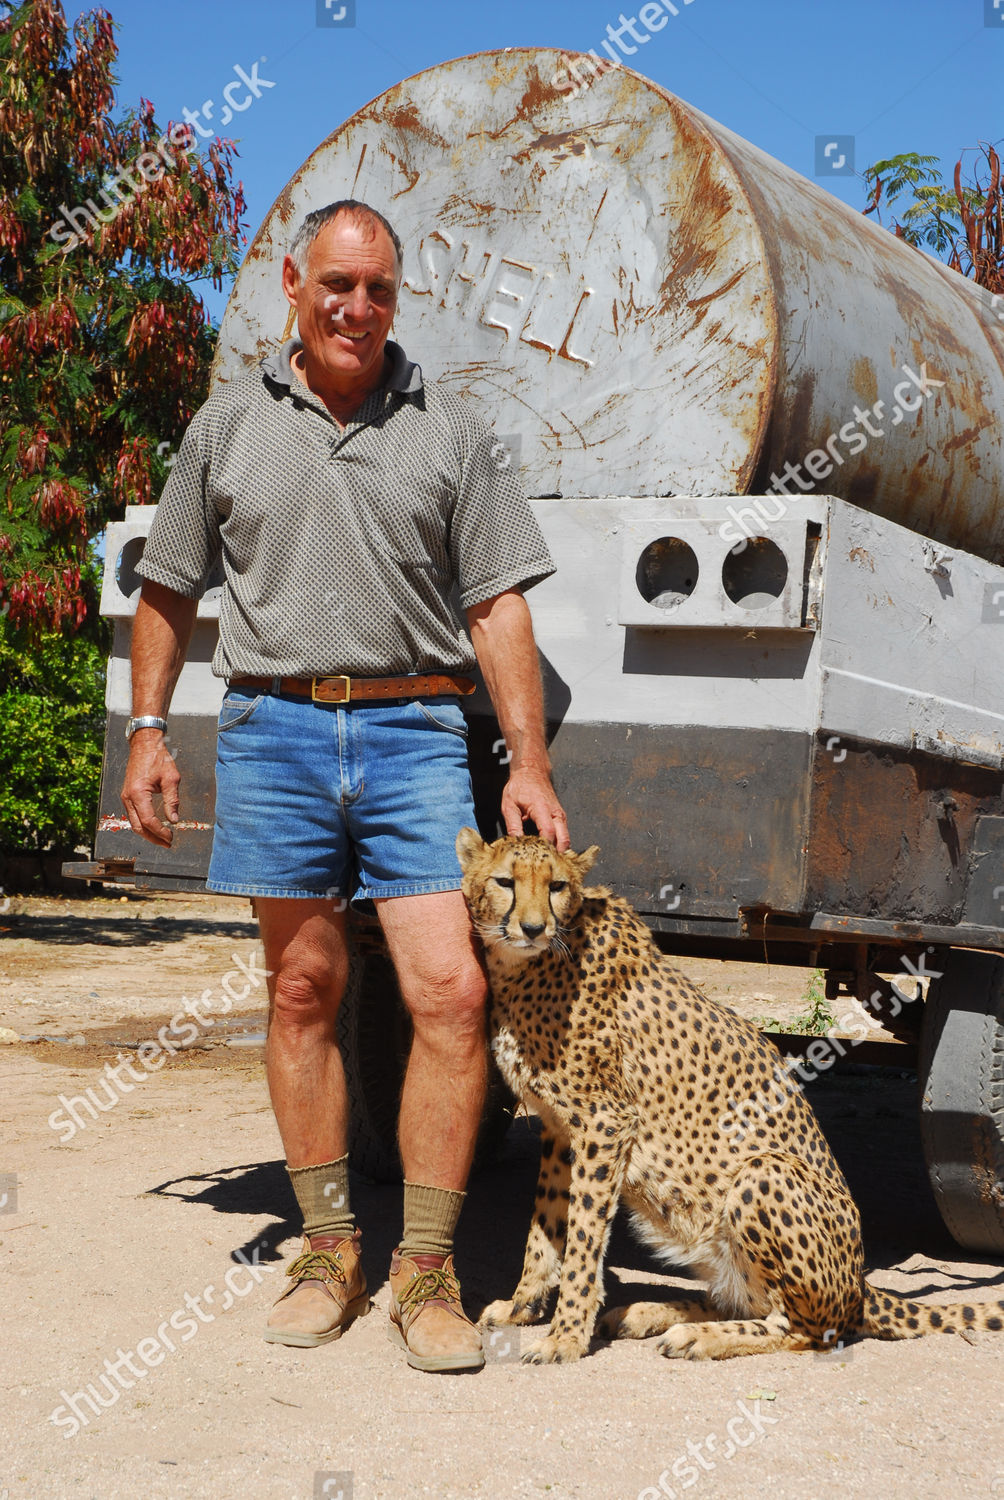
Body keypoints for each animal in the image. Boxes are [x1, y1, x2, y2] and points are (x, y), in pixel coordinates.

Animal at [456, 827, 1004, 1365]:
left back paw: (701, 1337)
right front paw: (523, 1305)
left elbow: (584, 1238)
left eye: (557, 886)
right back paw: (650, 1314)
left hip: (763, 1173)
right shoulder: (559, 1127)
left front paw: (566, 1336)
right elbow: (546, 1223)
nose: (532, 928)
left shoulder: (605, 1122)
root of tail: (860, 1283)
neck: (530, 963)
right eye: (505, 882)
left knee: (806, 1330)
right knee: (740, 1298)